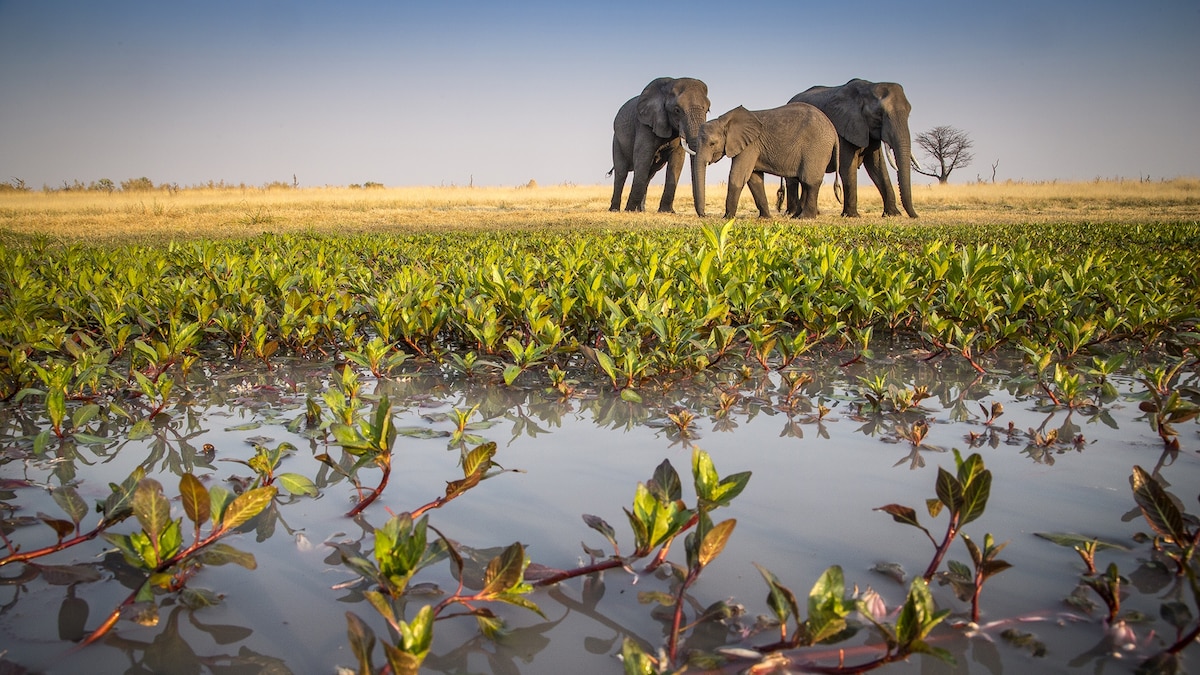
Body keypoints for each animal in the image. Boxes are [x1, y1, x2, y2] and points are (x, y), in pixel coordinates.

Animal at [609, 77, 710, 213]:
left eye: (708, 110)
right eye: (677, 110)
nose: (704, 215)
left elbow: (677, 161)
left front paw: (667, 211)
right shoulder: (645, 125)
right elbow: (643, 159)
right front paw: (629, 210)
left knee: (649, 174)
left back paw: (641, 210)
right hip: (617, 140)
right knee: (621, 172)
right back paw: (615, 210)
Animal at [692, 103, 840, 220]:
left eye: (712, 143)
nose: (704, 215)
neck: (724, 120)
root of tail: (833, 130)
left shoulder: (750, 146)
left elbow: (738, 176)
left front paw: (727, 218)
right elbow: (754, 179)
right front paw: (765, 217)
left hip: (816, 148)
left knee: (809, 182)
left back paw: (805, 218)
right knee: (804, 181)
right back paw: (795, 216)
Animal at [788, 78, 917, 218]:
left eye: (909, 113)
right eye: (879, 114)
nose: (915, 216)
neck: (867, 88)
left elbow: (877, 168)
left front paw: (893, 214)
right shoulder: (843, 127)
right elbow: (847, 168)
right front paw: (852, 215)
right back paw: (792, 213)